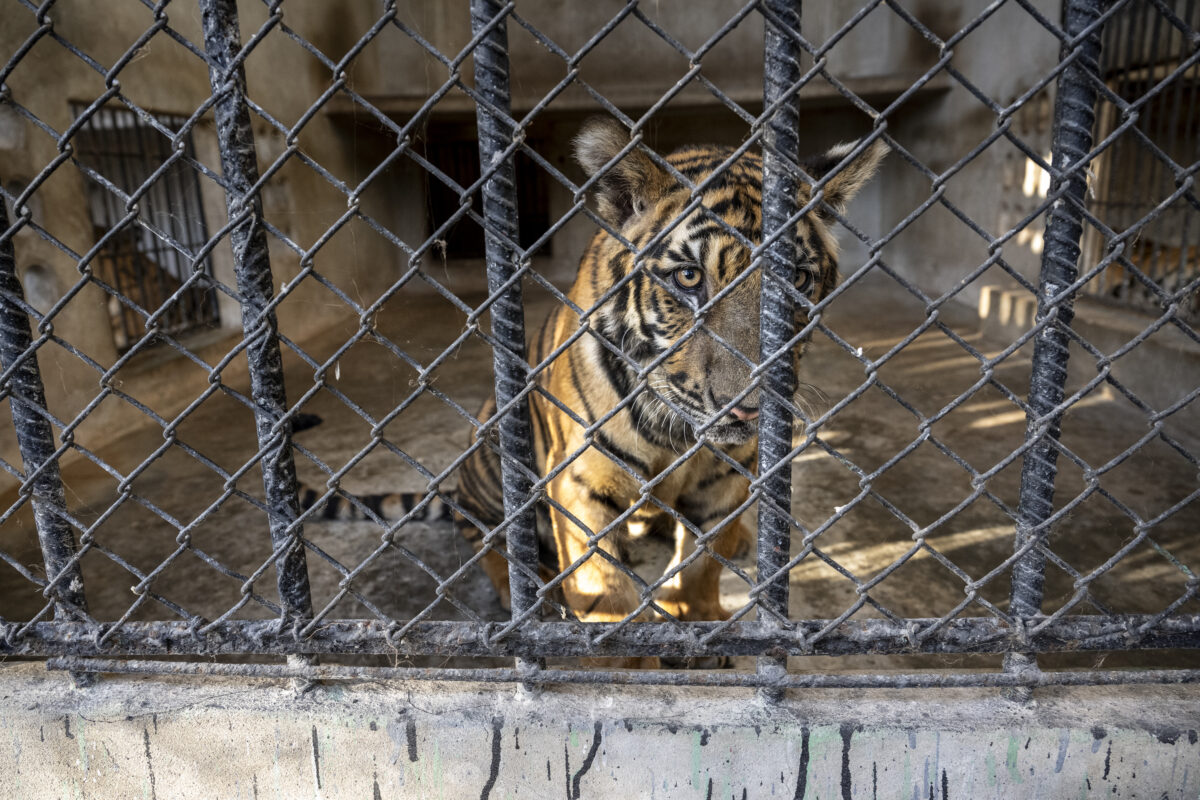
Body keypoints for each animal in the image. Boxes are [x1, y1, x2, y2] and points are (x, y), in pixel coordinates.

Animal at [299, 118, 886, 629]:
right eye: (689, 278)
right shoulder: (579, 478)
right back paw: (528, 589)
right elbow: (605, 588)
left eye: (799, 281)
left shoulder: (725, 476)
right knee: (484, 537)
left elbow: (700, 563)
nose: (749, 409)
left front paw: (699, 619)